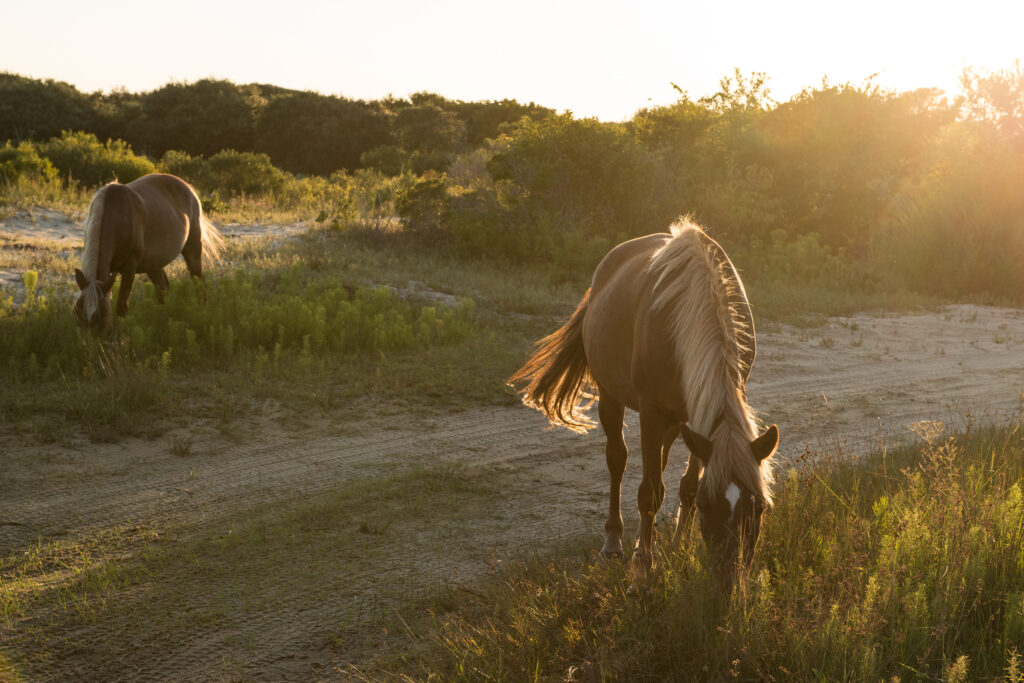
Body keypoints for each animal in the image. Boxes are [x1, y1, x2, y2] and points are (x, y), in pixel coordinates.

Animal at [73, 173, 223, 332]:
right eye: (77, 310)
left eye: (99, 316)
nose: (88, 338)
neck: (116, 216)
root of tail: (189, 188)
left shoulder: (129, 267)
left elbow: (121, 307)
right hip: (153, 265)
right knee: (163, 290)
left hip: (192, 249)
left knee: (199, 283)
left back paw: (201, 314)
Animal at [508, 218, 778, 586]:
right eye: (709, 506)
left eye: (760, 506)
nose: (728, 582)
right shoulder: (651, 412)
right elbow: (649, 492)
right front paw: (642, 570)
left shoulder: (698, 418)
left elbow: (686, 485)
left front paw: (679, 549)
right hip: (612, 398)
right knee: (618, 460)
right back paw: (614, 541)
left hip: (674, 421)